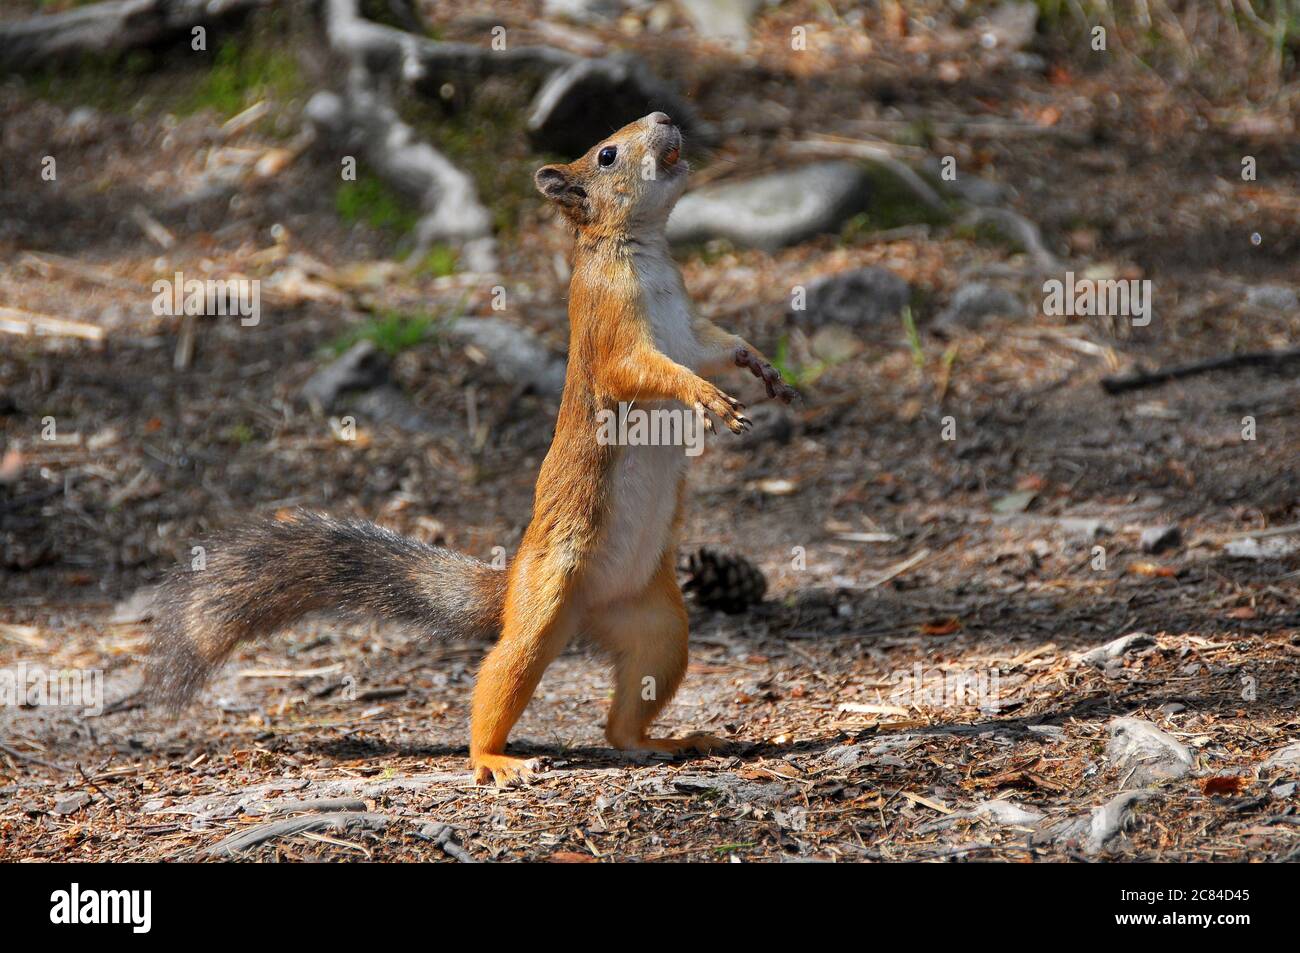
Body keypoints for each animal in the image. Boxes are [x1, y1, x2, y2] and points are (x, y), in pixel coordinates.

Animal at [147, 112, 796, 787]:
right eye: (608, 153)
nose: (665, 119)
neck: (641, 250)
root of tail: (531, 597)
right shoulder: (611, 332)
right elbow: (647, 371)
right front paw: (708, 398)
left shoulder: (690, 329)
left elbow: (719, 345)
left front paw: (762, 367)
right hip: (545, 608)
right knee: (501, 675)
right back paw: (495, 758)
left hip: (659, 629)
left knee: (621, 723)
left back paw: (667, 741)